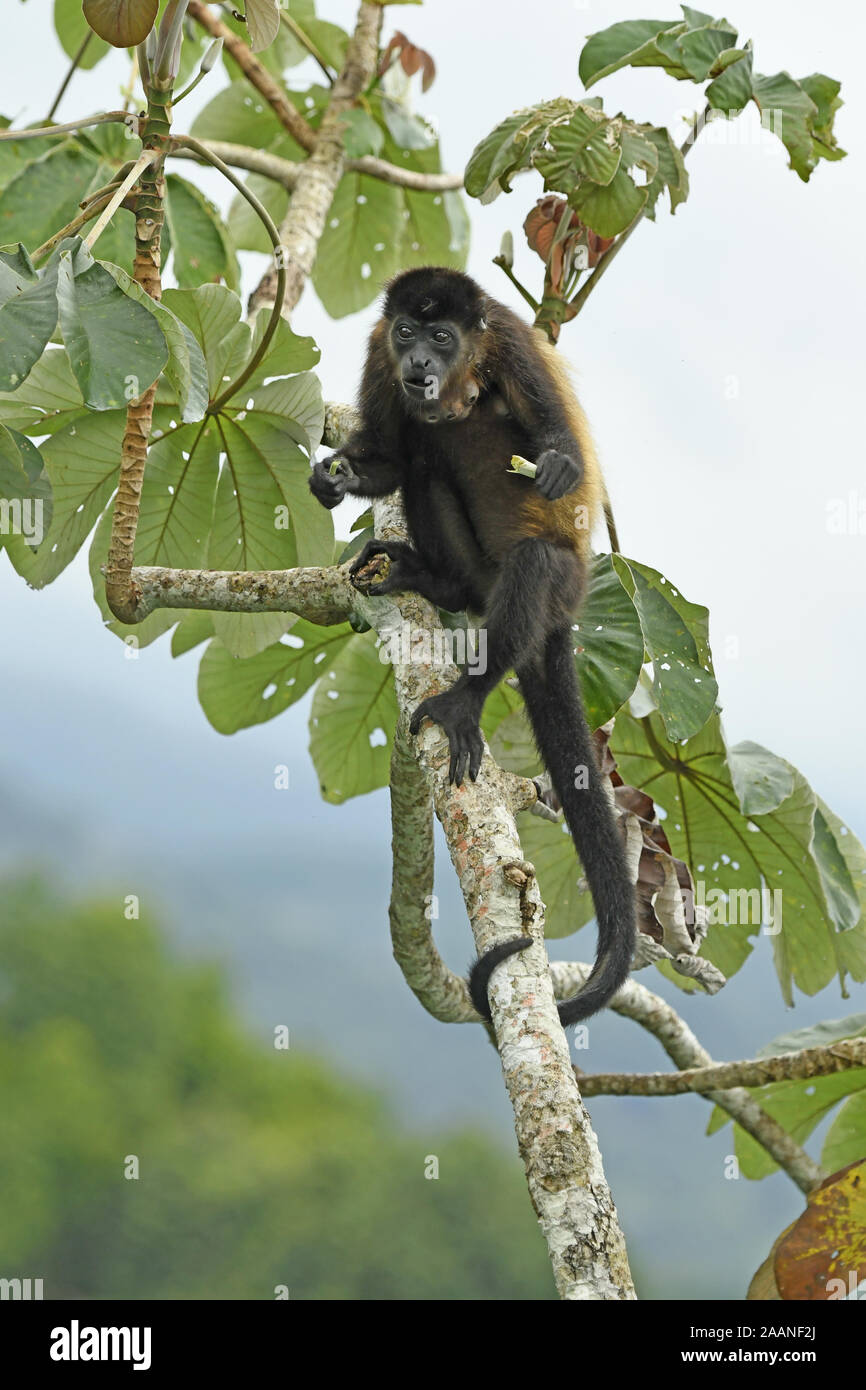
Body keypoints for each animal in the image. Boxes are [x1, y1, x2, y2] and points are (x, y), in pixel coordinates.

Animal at [309, 267, 635, 1026]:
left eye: (442, 336)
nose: (418, 366)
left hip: (558, 586)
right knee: (425, 458)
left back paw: (465, 699)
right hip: (474, 571)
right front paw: (336, 476)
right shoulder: (377, 354)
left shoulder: (512, 342)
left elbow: (557, 444)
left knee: (534, 562)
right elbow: (391, 452)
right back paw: (437, 580)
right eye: (406, 333)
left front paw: (556, 463)